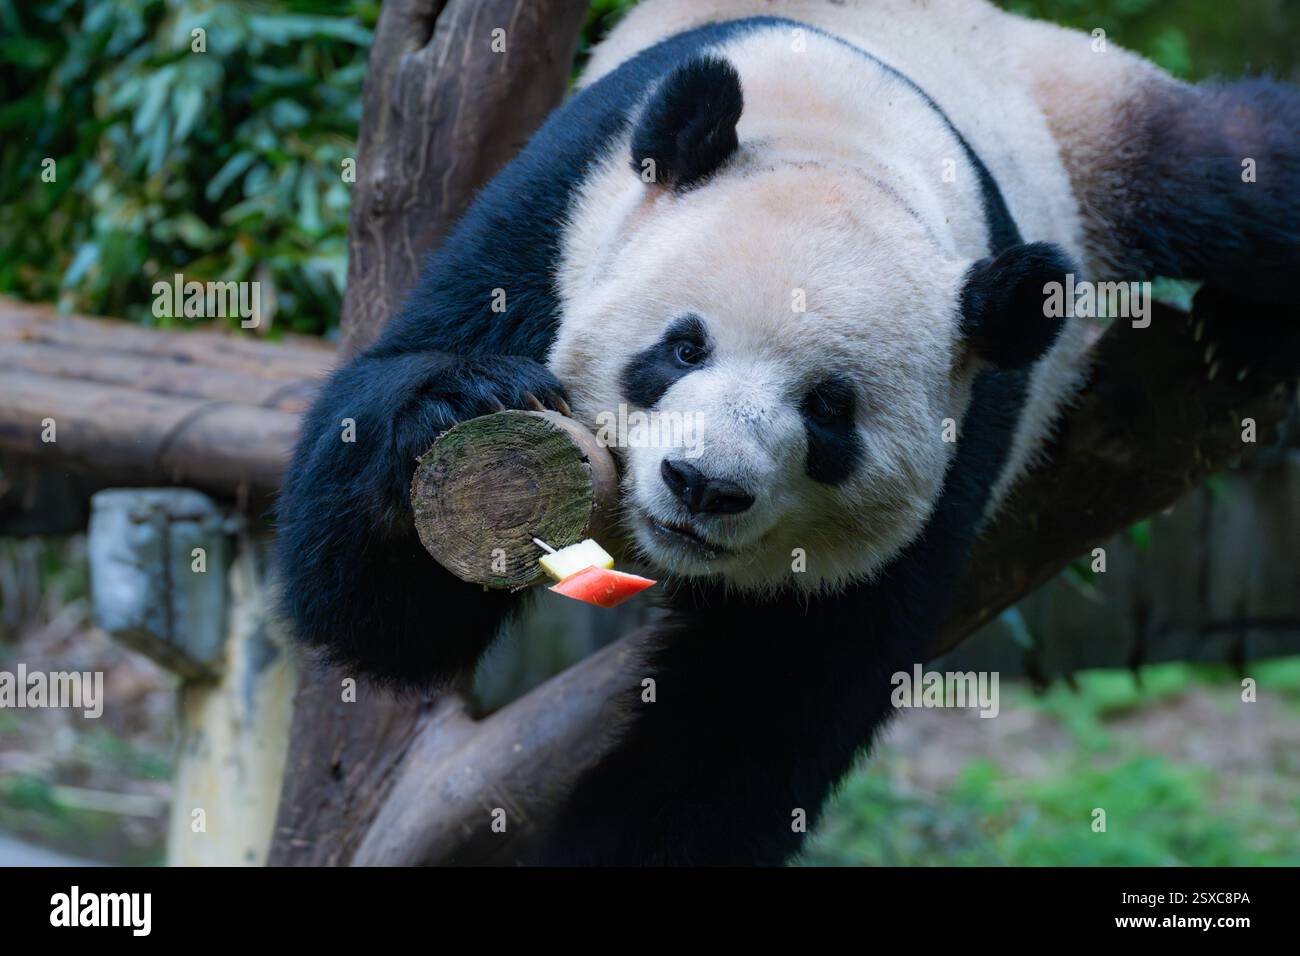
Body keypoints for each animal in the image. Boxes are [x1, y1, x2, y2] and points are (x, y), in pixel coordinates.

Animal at [276, 0, 1299, 865]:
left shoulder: (966, 421)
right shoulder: (554, 218)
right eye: (682, 347)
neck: (842, 139)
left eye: (829, 411)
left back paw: (1247, 331)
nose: (702, 486)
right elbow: (382, 615)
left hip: (1087, 122)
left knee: (1232, 169)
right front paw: (455, 403)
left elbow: (760, 712)